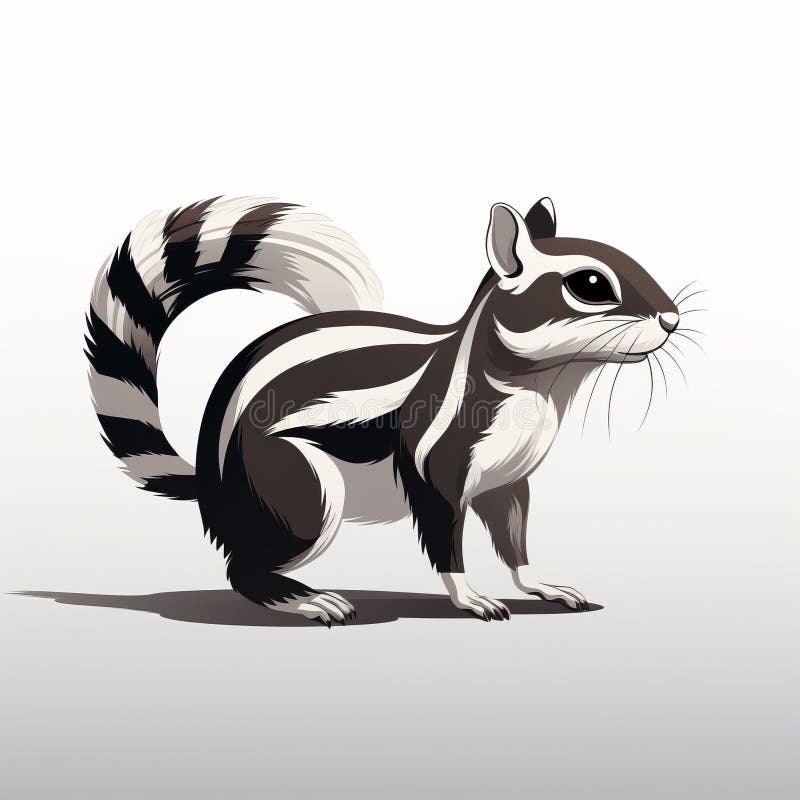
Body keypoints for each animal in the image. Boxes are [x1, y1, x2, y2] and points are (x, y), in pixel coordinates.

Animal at [86, 195, 679, 624]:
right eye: (590, 284)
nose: (672, 319)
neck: (537, 389)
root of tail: (212, 478)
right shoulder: (437, 455)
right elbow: (444, 536)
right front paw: (469, 597)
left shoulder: (507, 475)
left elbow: (515, 535)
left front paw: (537, 583)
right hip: (295, 487)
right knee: (247, 567)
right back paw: (304, 599)